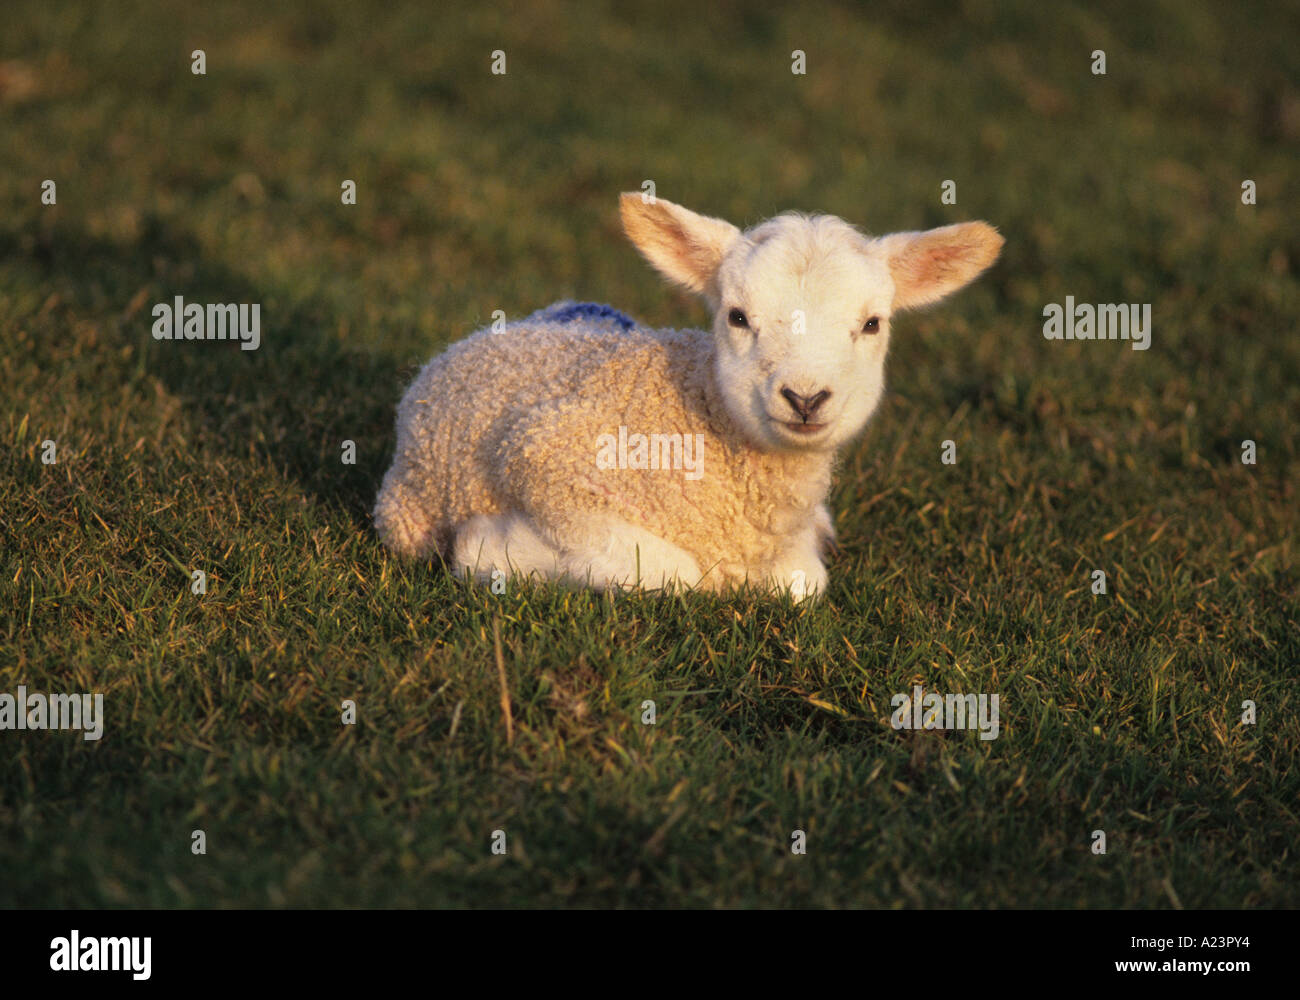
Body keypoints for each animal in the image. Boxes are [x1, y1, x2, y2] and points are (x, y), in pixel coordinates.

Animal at [373, 193, 1003, 599]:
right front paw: (490, 547)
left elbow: (803, 584)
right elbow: (667, 570)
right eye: (738, 316)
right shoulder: (545, 459)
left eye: (872, 324)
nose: (805, 398)